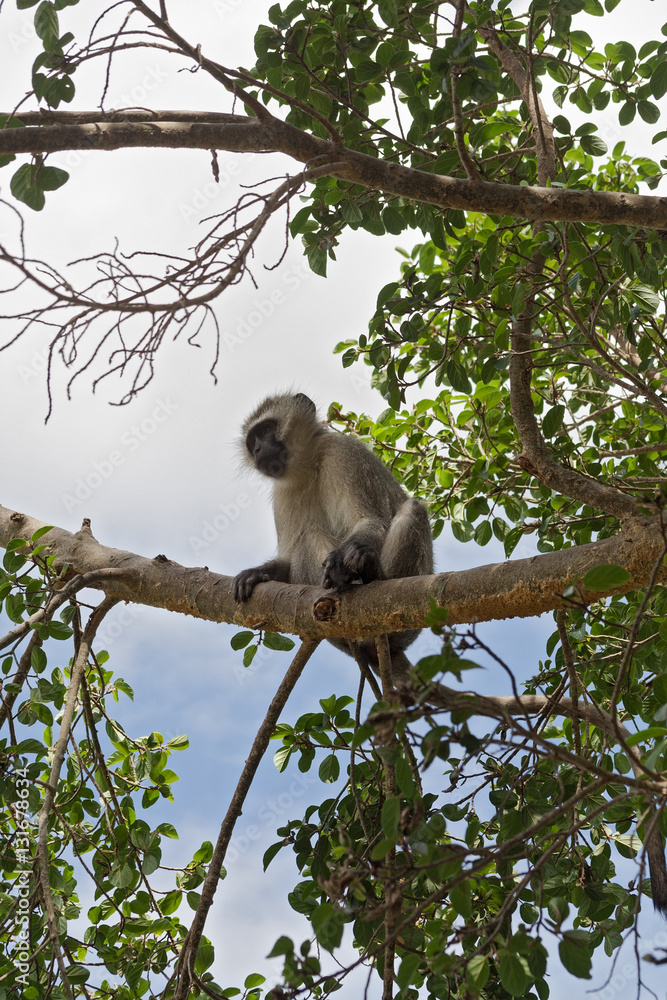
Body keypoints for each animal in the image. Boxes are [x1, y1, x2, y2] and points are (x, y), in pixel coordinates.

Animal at [232, 392, 434, 678]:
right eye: (252, 442)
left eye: (267, 430)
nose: (258, 450)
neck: (309, 466)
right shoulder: (283, 495)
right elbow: (287, 561)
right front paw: (257, 574)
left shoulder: (343, 452)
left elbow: (371, 520)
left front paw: (346, 556)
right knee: (307, 539)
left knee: (413, 508)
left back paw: (372, 573)